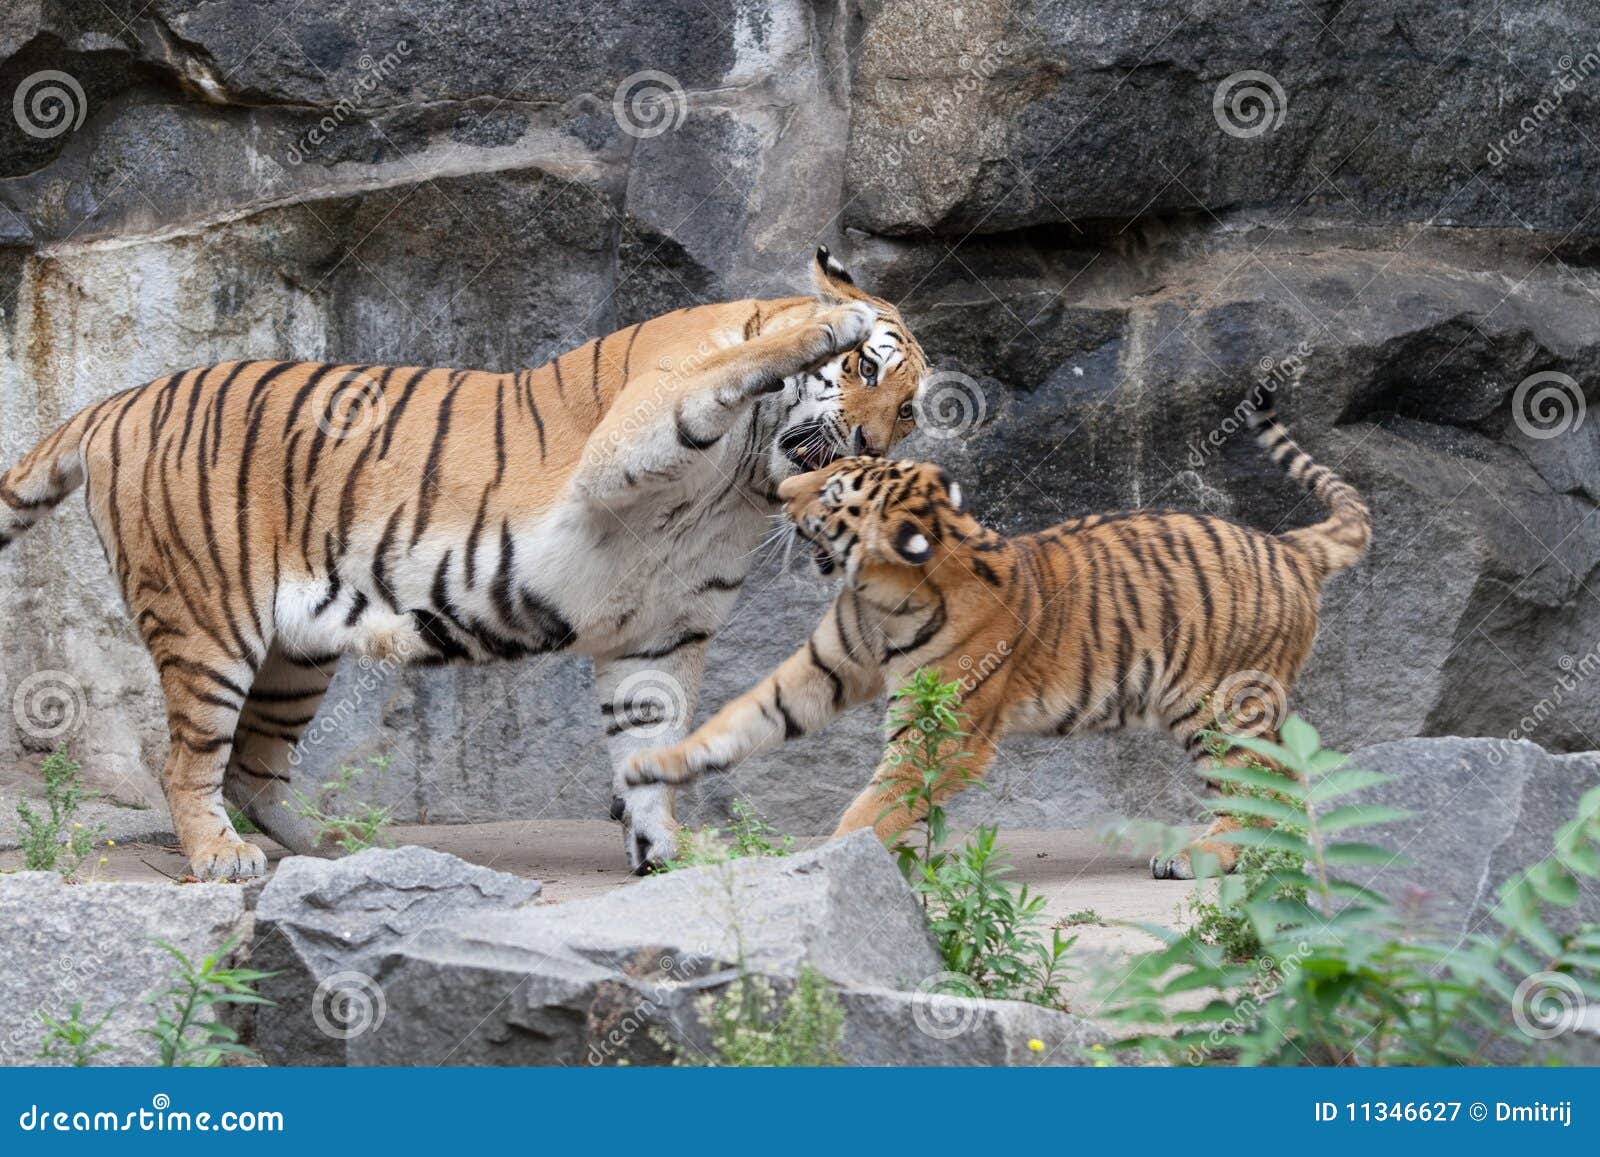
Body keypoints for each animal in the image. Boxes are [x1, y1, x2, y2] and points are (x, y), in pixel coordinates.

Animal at [0, 248, 928, 878]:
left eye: (912, 410)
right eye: (864, 369)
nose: (871, 441)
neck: (741, 483)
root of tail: (115, 401)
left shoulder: (663, 630)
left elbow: (650, 745)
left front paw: (663, 848)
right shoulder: (632, 434)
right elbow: (733, 365)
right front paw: (826, 324)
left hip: (296, 652)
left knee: (253, 770)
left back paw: (339, 845)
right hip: (209, 623)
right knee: (188, 761)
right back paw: (221, 857)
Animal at [623, 397, 1371, 879]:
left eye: (832, 494)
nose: (782, 495)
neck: (881, 595)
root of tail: (1290, 547)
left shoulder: (941, 730)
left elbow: (876, 802)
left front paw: (829, 861)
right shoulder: (821, 669)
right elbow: (742, 718)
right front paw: (650, 766)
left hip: (1221, 706)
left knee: (1267, 790)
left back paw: (1202, 857)